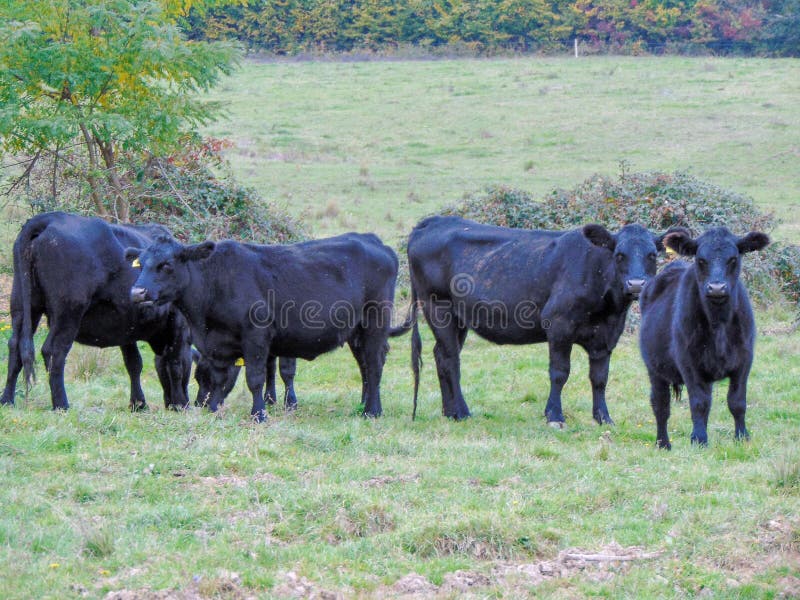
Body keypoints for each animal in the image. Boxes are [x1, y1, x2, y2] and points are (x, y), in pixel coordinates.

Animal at [0, 212, 192, 412]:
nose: (178, 402)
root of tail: (50, 217)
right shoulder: (178, 325)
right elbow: (176, 365)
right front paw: (180, 404)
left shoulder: (126, 326)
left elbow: (134, 363)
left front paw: (138, 403)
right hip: (68, 311)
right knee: (53, 351)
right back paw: (62, 404)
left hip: (23, 304)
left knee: (15, 347)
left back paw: (7, 400)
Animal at [126, 232, 407, 422]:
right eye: (141, 263)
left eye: (166, 264)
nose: (137, 292)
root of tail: (373, 240)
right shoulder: (217, 344)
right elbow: (219, 377)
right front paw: (214, 409)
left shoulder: (256, 337)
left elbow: (255, 378)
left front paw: (258, 413)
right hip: (356, 332)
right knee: (364, 366)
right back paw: (364, 404)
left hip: (375, 323)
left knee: (374, 363)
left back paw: (372, 411)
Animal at [405, 215, 676, 424]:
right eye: (619, 255)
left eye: (652, 255)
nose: (636, 284)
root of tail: (434, 221)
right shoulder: (558, 325)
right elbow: (560, 372)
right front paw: (554, 415)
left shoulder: (606, 335)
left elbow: (600, 378)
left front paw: (603, 417)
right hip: (438, 308)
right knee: (451, 359)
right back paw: (462, 412)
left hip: (459, 318)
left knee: (441, 356)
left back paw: (449, 412)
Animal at [639, 227, 770, 449]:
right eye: (700, 259)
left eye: (733, 259)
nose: (716, 288)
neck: (719, 324)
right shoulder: (689, 364)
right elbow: (699, 403)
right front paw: (699, 439)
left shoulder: (744, 360)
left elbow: (737, 402)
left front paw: (742, 436)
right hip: (654, 369)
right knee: (660, 405)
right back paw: (663, 443)